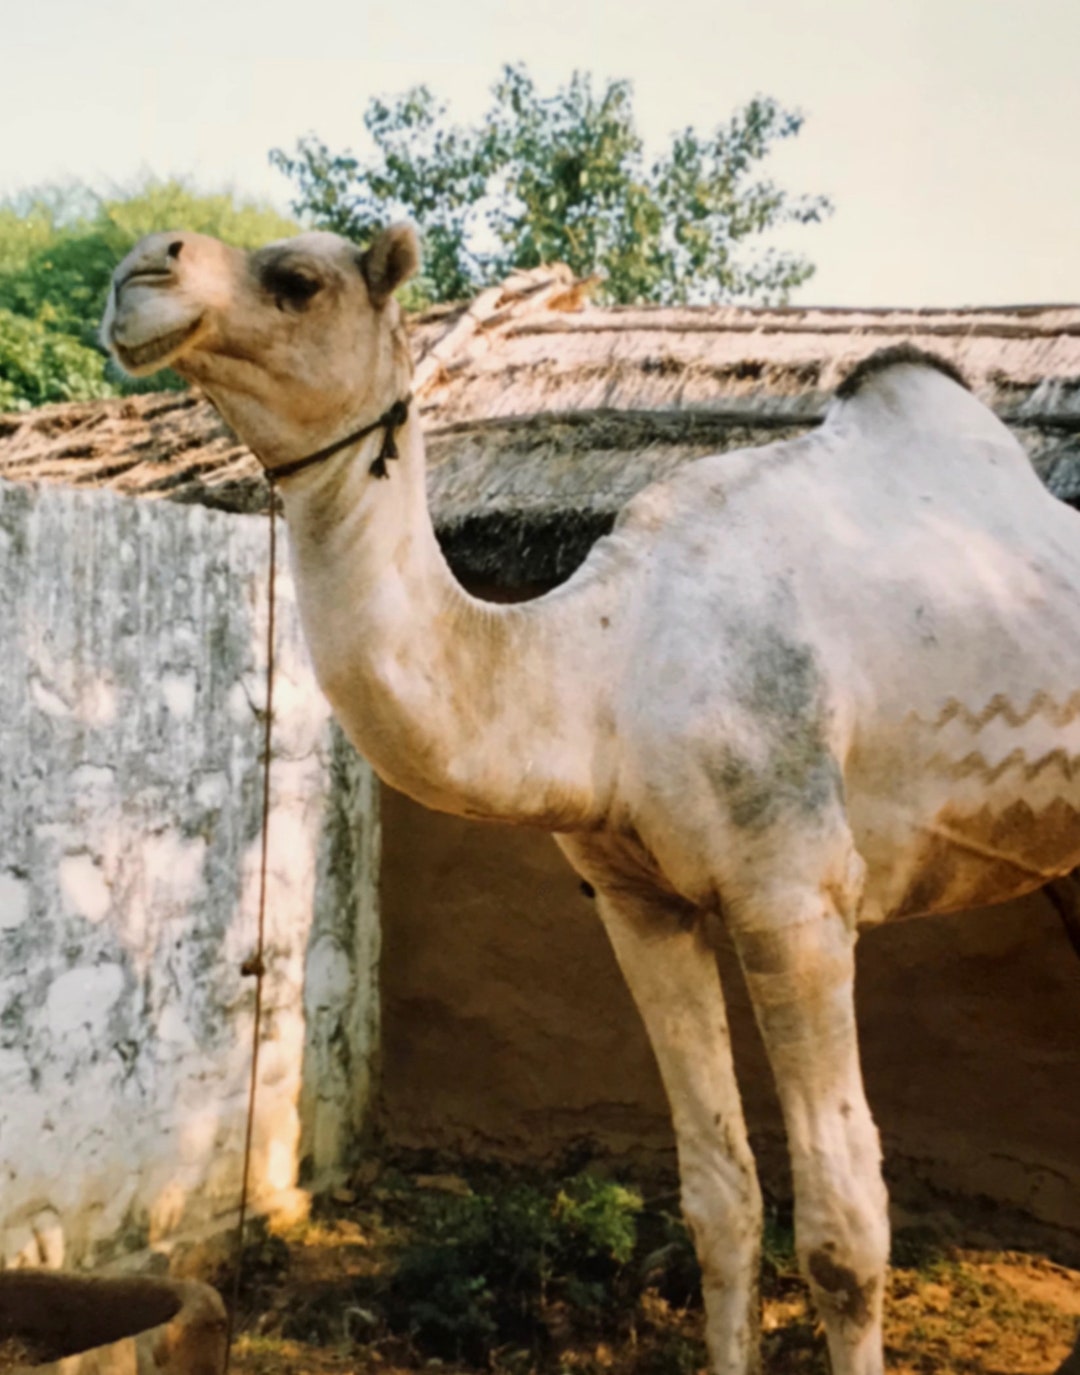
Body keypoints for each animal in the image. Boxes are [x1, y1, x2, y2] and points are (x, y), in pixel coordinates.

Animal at [103, 225, 1080, 1375]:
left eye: (298, 280)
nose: (139, 273)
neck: (606, 667)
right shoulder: (638, 902)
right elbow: (720, 1202)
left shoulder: (796, 894)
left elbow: (844, 1235)